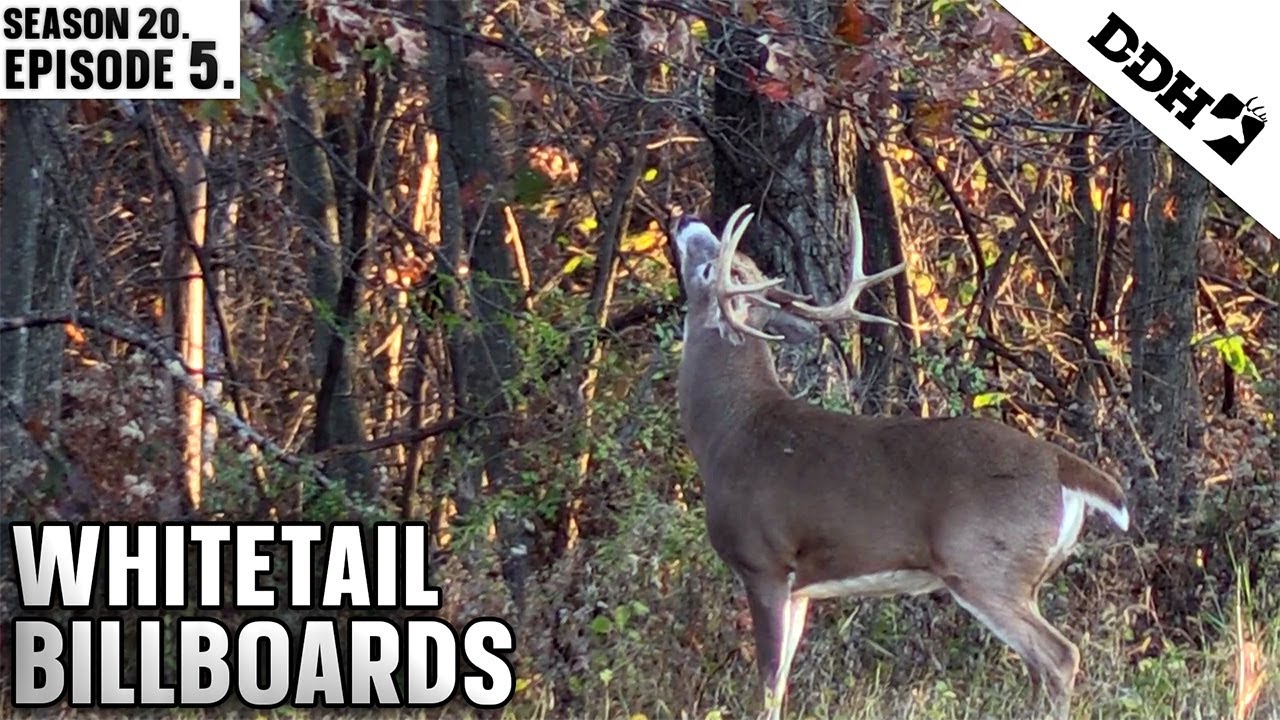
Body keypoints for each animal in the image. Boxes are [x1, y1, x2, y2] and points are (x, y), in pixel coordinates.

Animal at [670, 198, 1130, 720]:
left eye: (711, 268)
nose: (687, 218)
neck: (730, 434)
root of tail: (1061, 466)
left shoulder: (763, 559)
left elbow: (767, 683)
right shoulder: (801, 584)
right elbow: (783, 678)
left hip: (985, 564)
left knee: (1060, 656)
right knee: (1041, 665)